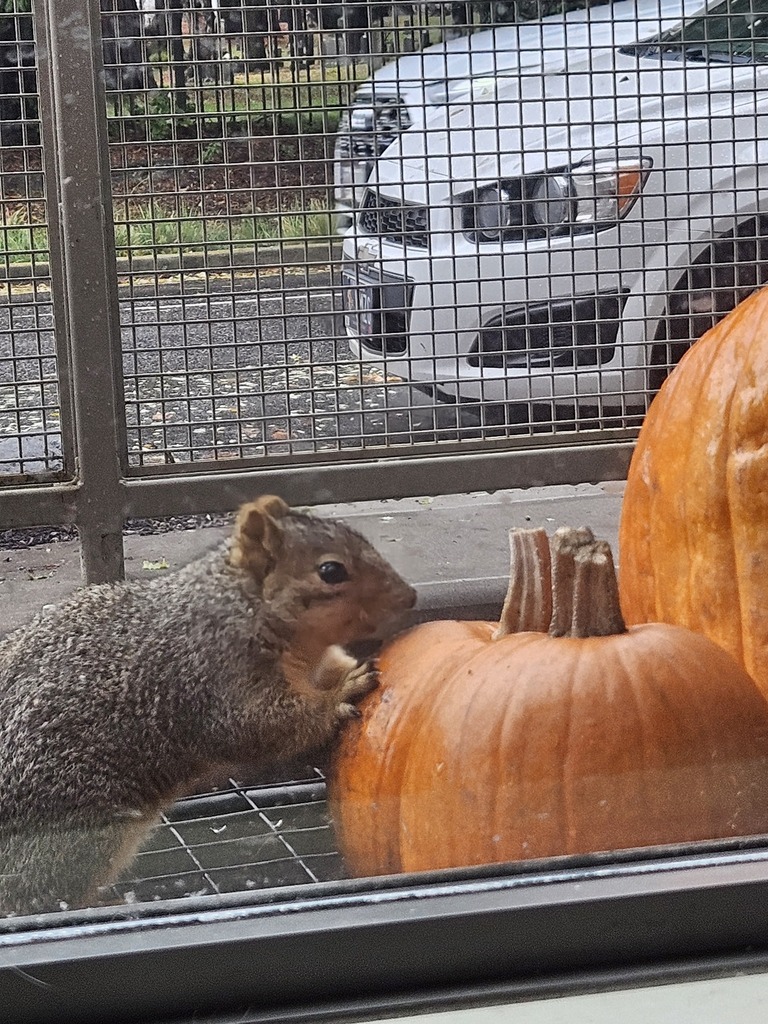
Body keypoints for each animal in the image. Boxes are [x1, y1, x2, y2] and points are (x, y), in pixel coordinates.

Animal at [0, 495, 416, 917]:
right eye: (331, 571)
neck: (244, 606)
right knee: (39, 896)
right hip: (76, 833)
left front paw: (348, 671)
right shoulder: (216, 679)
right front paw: (343, 694)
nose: (410, 597)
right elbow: (261, 727)